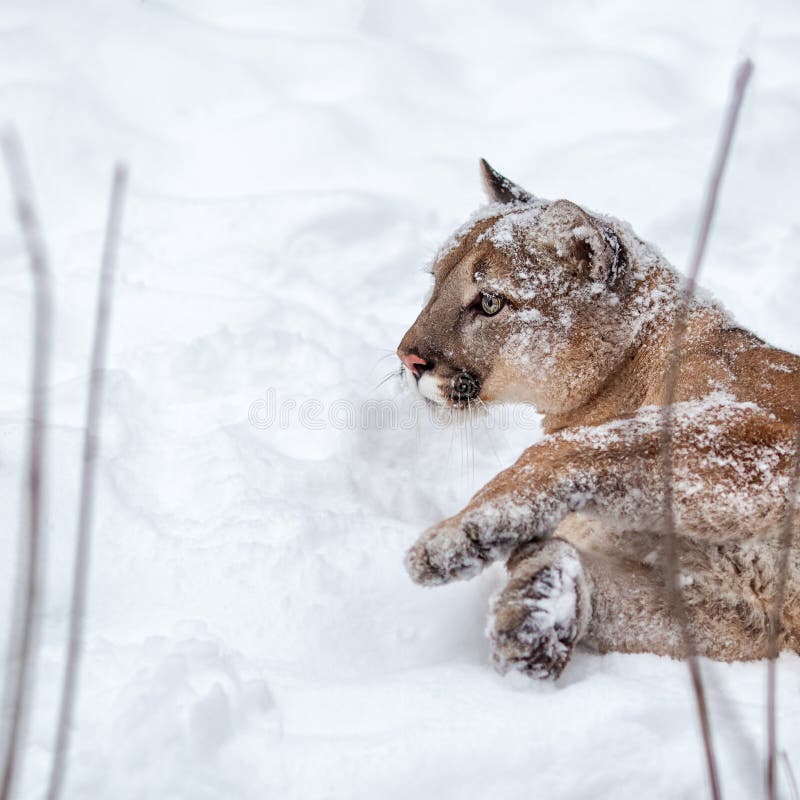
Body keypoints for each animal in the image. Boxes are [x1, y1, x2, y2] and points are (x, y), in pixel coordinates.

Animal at [397, 159, 800, 679]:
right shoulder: (743, 617)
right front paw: (539, 604)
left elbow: (580, 446)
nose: (408, 359)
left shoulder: (764, 427)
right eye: (434, 281)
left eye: (490, 302)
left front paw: (461, 533)